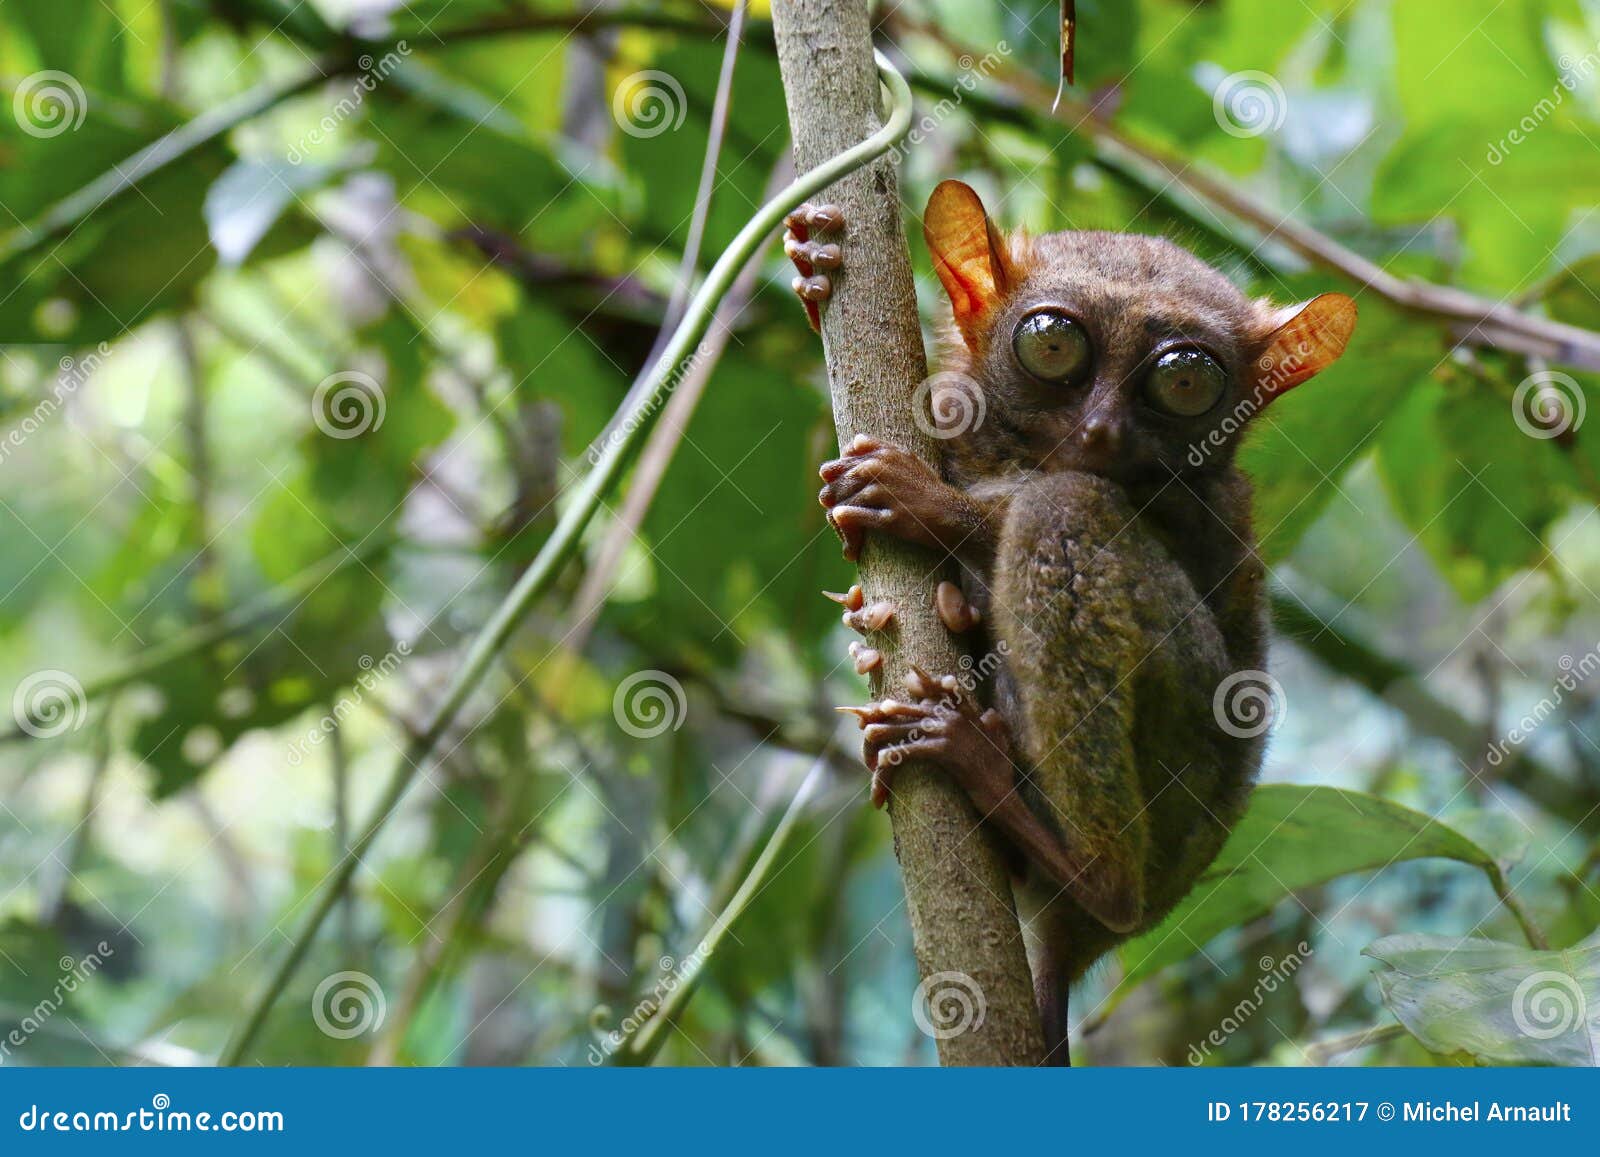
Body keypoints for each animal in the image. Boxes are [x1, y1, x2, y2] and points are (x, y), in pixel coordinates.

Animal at [784, 181, 1356, 1064]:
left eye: (1185, 383)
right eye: (1052, 345)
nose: (1101, 428)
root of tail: (1087, 942)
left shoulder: (1194, 508)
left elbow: (1043, 505)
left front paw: (923, 502)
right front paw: (813, 267)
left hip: (1176, 771)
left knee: (1063, 509)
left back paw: (1011, 792)